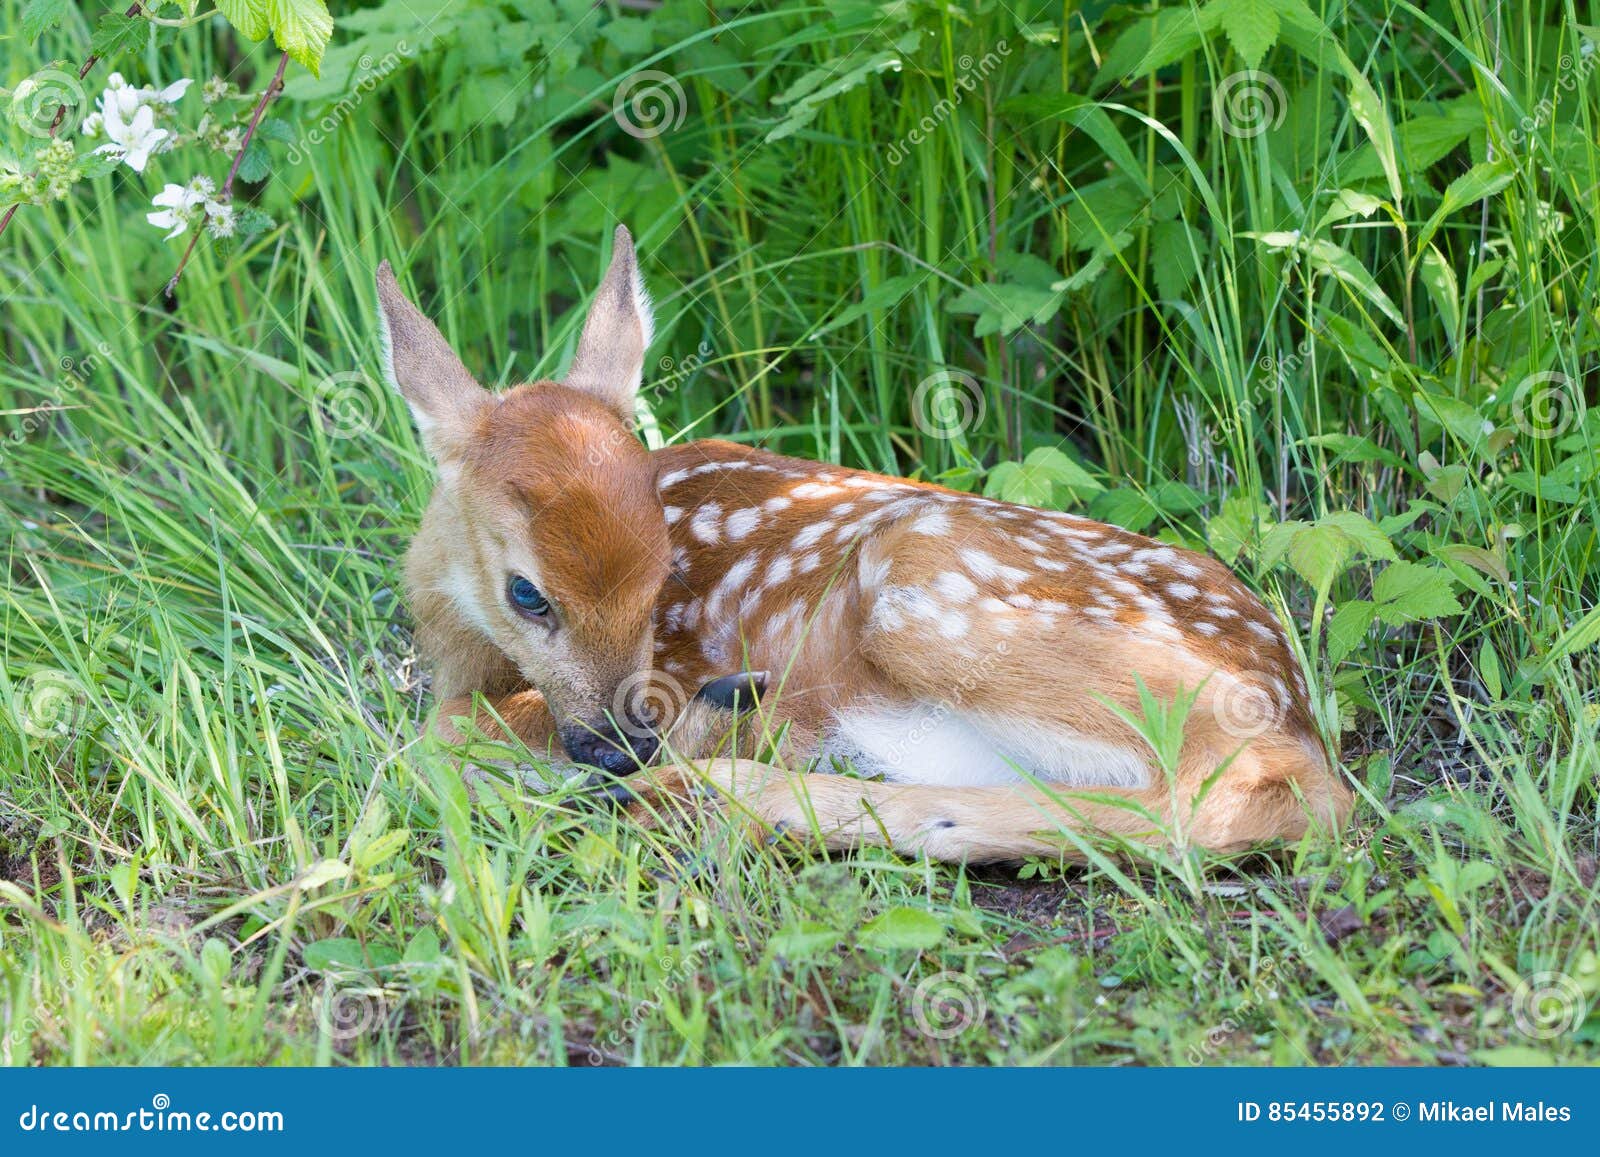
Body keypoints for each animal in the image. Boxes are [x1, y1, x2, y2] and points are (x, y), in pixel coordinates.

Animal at [374, 226, 1353, 865]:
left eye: (662, 580)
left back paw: (722, 792)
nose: (621, 747)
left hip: (921, 579)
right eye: (528, 592)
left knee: (1246, 795)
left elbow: (440, 733)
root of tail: (1292, 694)